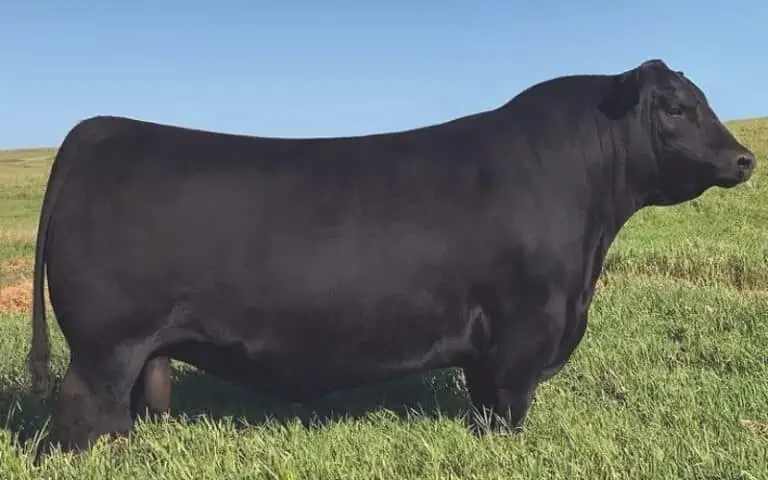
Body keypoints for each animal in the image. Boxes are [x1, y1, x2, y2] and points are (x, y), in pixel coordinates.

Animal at [27, 58, 756, 456]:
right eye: (678, 106)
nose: (745, 158)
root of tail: (100, 129)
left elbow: (484, 402)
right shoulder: (525, 327)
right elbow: (506, 407)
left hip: (137, 350)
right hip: (104, 347)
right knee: (81, 421)